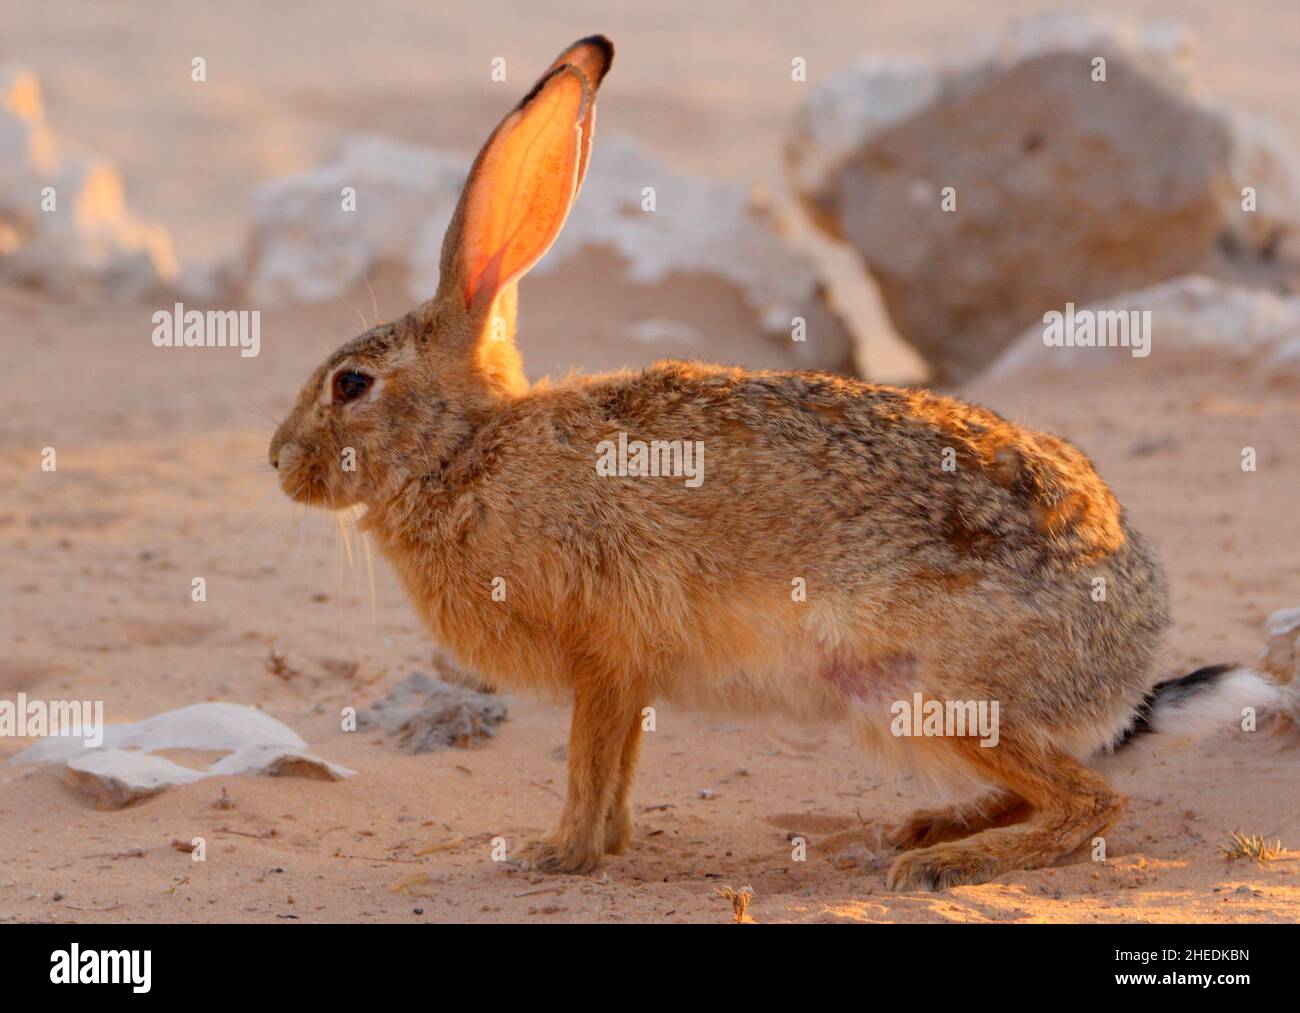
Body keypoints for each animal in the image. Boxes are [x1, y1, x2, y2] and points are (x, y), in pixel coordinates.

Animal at [269, 34, 1289, 890]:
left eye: (352, 385)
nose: (279, 462)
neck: (465, 450)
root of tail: (1128, 654)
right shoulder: (628, 674)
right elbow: (617, 763)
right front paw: (605, 844)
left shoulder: (606, 649)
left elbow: (588, 759)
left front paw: (554, 854)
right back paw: (930, 827)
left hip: (937, 687)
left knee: (1092, 799)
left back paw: (941, 863)